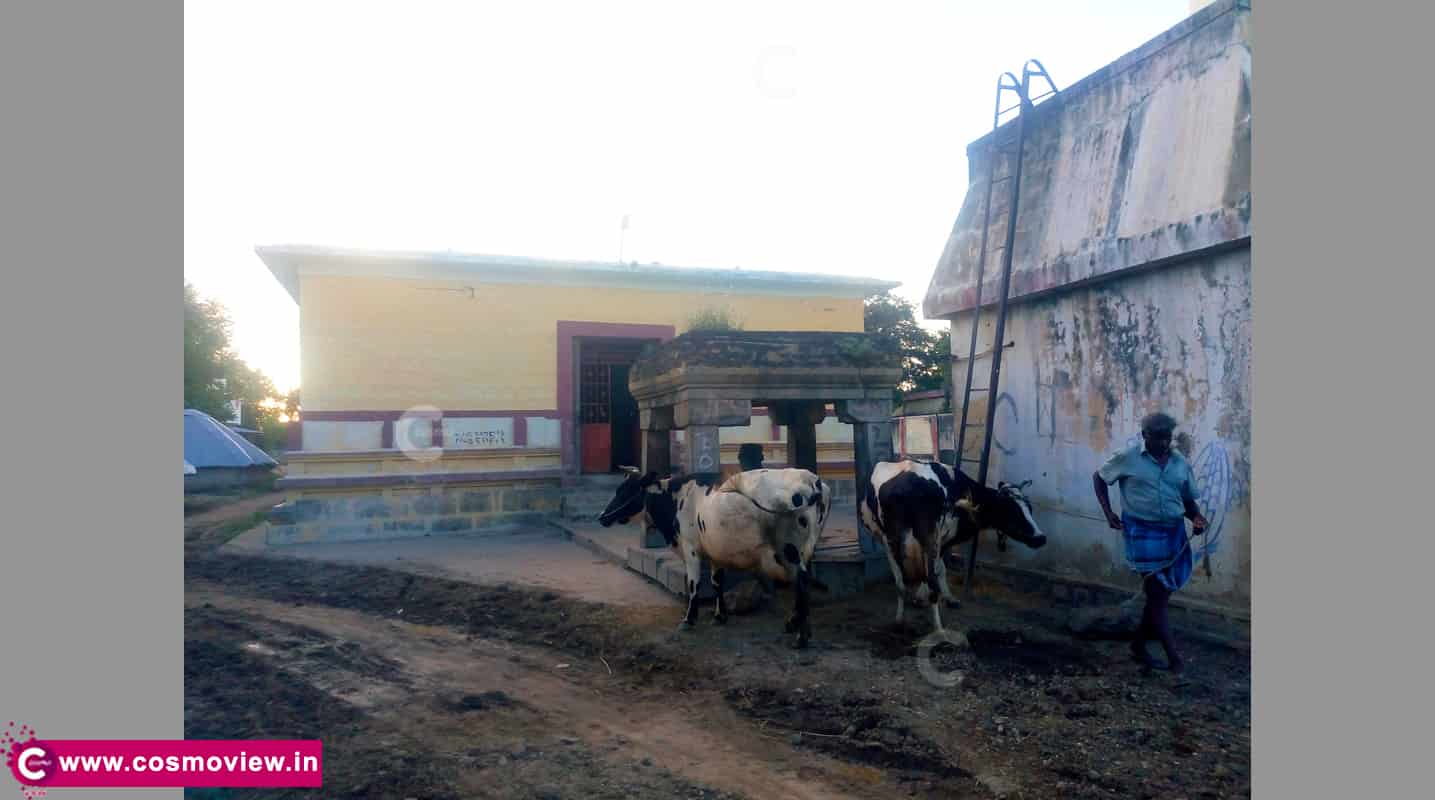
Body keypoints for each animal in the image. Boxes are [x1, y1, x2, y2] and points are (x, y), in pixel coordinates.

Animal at [599, 465, 838, 646]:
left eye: (625, 490)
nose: (602, 517)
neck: (680, 497)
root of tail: (812, 481)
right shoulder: (715, 552)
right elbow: (716, 581)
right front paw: (720, 615)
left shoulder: (691, 548)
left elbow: (694, 584)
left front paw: (689, 619)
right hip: (806, 549)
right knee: (803, 581)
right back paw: (794, 623)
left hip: (790, 550)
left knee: (802, 582)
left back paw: (802, 636)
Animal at [855, 459, 1050, 631]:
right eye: (1012, 510)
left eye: (1030, 508)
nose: (1041, 538)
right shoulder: (943, 539)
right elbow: (940, 569)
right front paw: (942, 598)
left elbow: (932, 570)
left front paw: (925, 598)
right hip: (928, 538)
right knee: (930, 582)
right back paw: (939, 628)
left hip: (890, 539)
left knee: (900, 582)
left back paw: (899, 620)